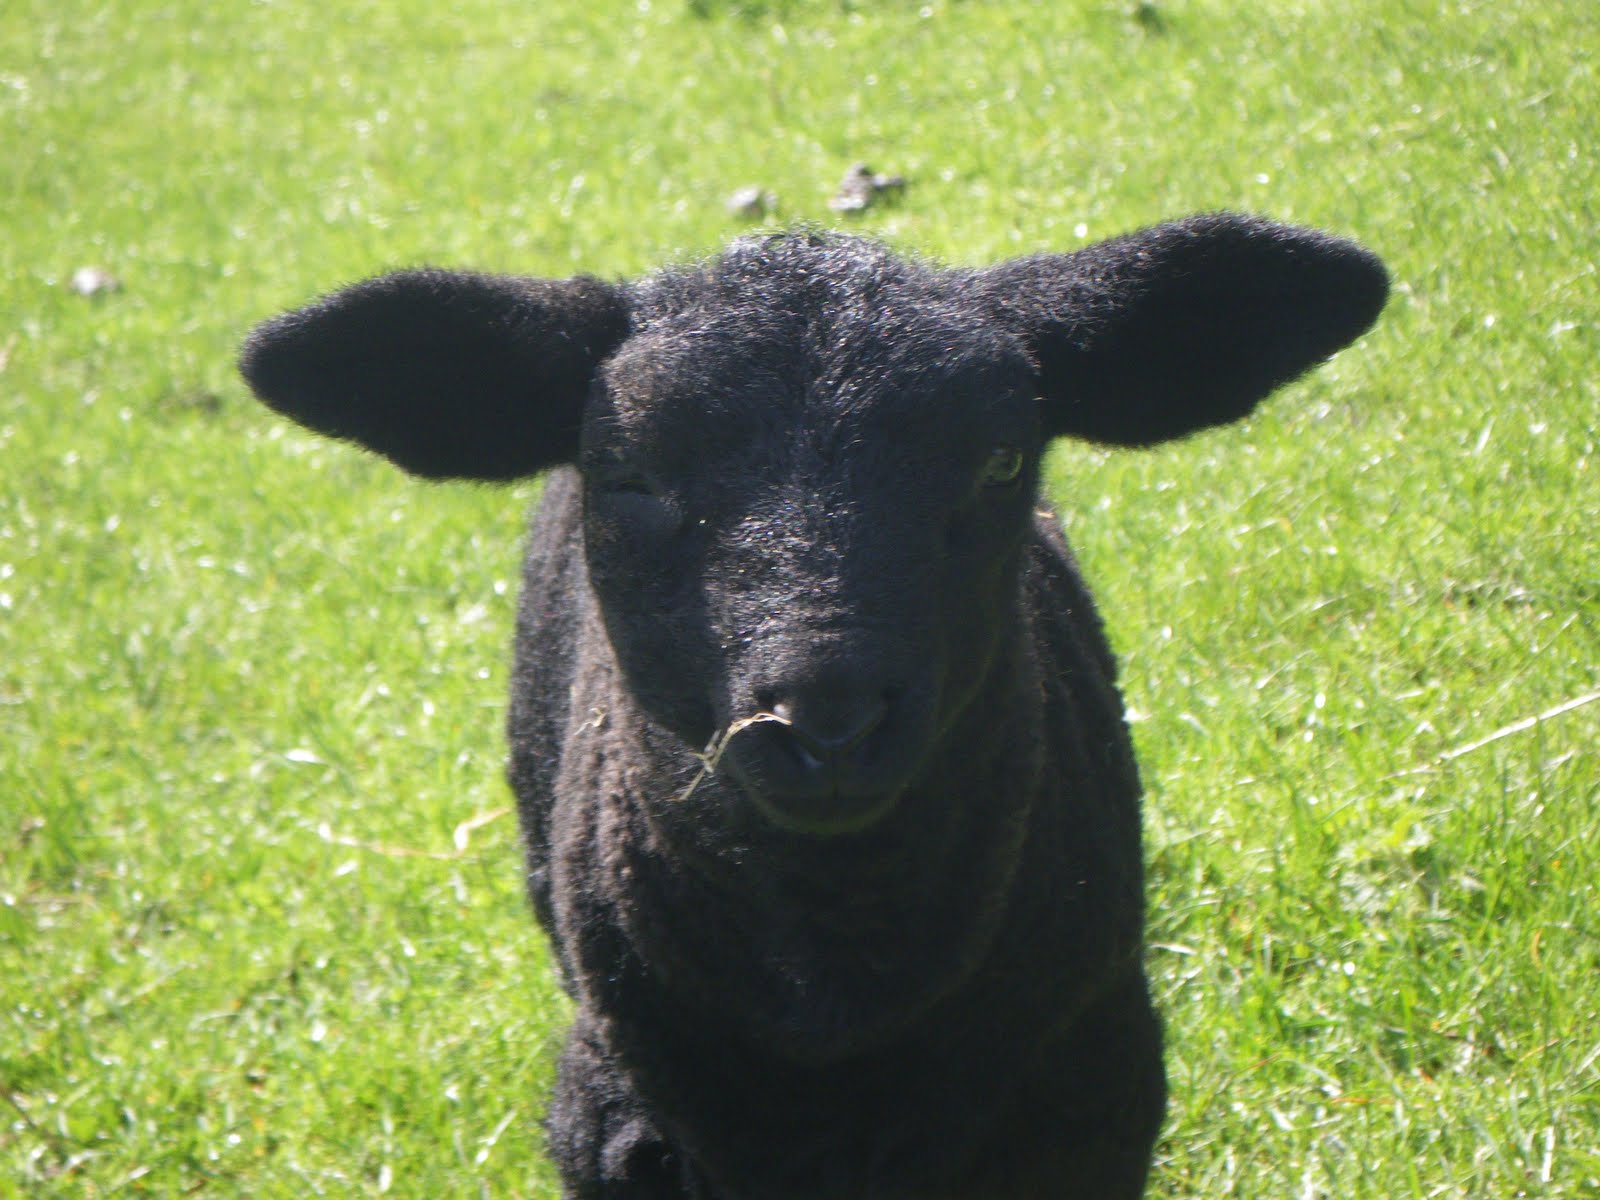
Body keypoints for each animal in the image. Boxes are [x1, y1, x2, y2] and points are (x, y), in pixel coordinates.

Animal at [240, 213, 1387, 1200]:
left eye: (1002, 459)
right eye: (631, 474)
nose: (826, 723)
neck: (837, 961)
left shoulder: (1091, 1097)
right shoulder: (616, 1126)